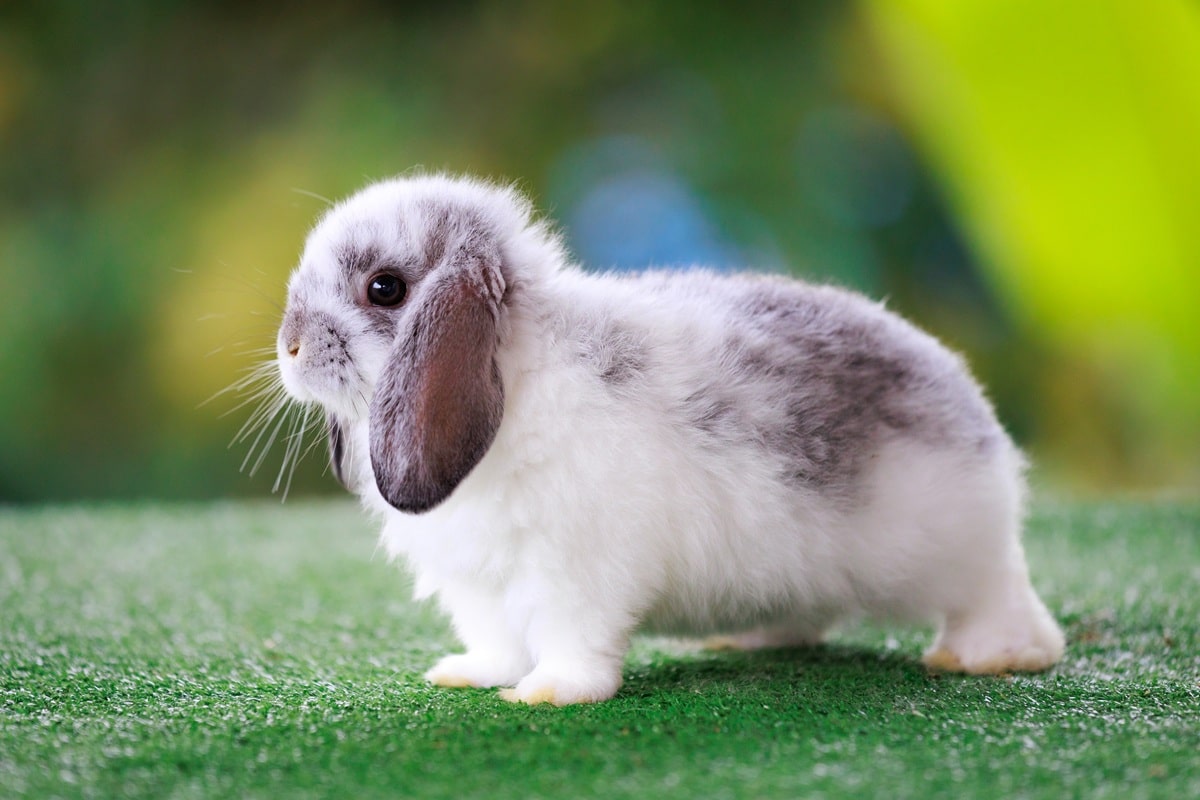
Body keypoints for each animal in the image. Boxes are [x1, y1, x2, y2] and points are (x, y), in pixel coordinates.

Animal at [275, 173, 1065, 705]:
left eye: (385, 288)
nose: (289, 345)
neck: (514, 373)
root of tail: (966, 397)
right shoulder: (481, 589)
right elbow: (496, 641)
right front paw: (472, 677)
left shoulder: (576, 573)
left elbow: (573, 638)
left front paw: (549, 693)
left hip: (959, 553)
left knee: (1000, 593)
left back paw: (991, 656)